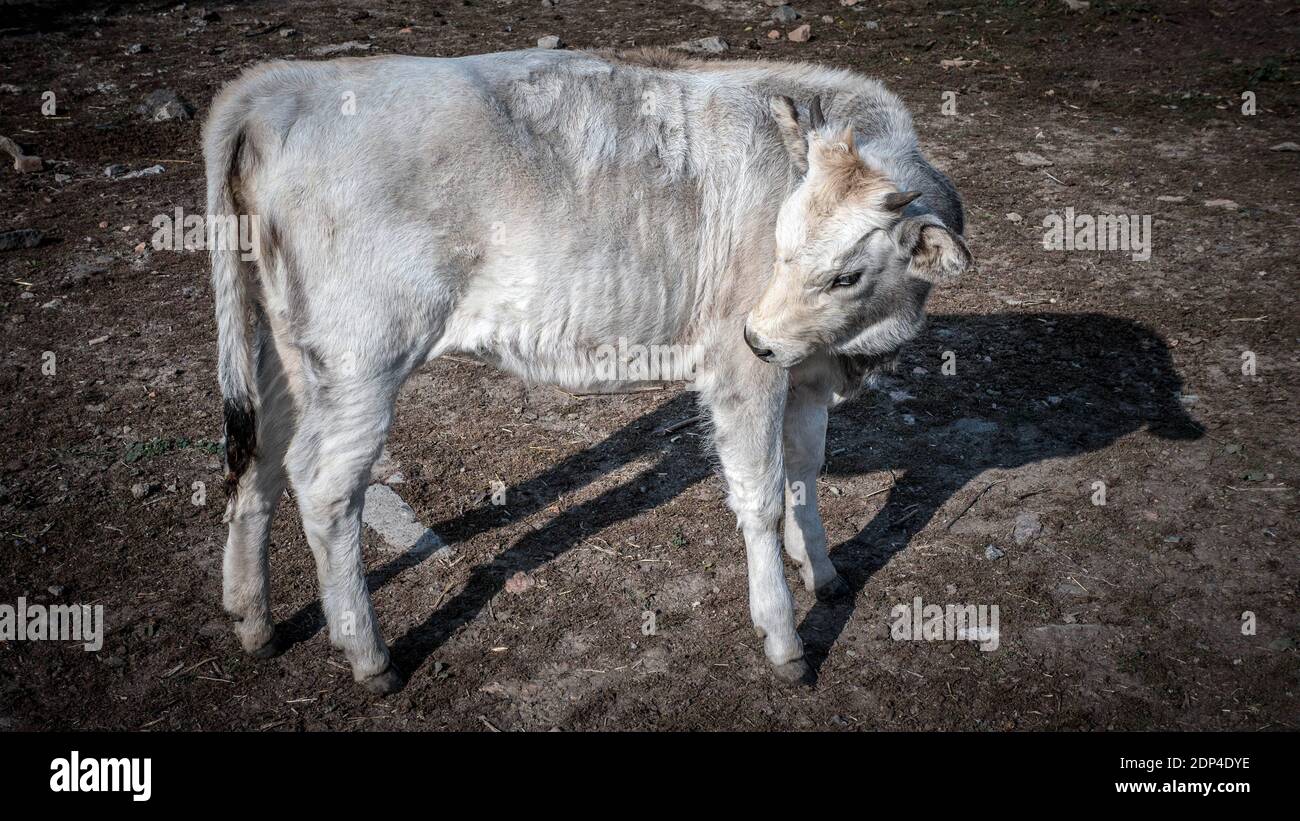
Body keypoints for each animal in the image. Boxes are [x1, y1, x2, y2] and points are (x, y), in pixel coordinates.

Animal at [204, 47, 972, 694]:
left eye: (846, 274)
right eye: (781, 245)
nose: (758, 335)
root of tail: (286, 85)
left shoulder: (803, 371)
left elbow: (805, 472)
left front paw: (824, 571)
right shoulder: (738, 367)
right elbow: (761, 495)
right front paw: (784, 638)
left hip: (289, 350)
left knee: (257, 457)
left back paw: (253, 619)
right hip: (362, 355)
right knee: (324, 485)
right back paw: (369, 655)